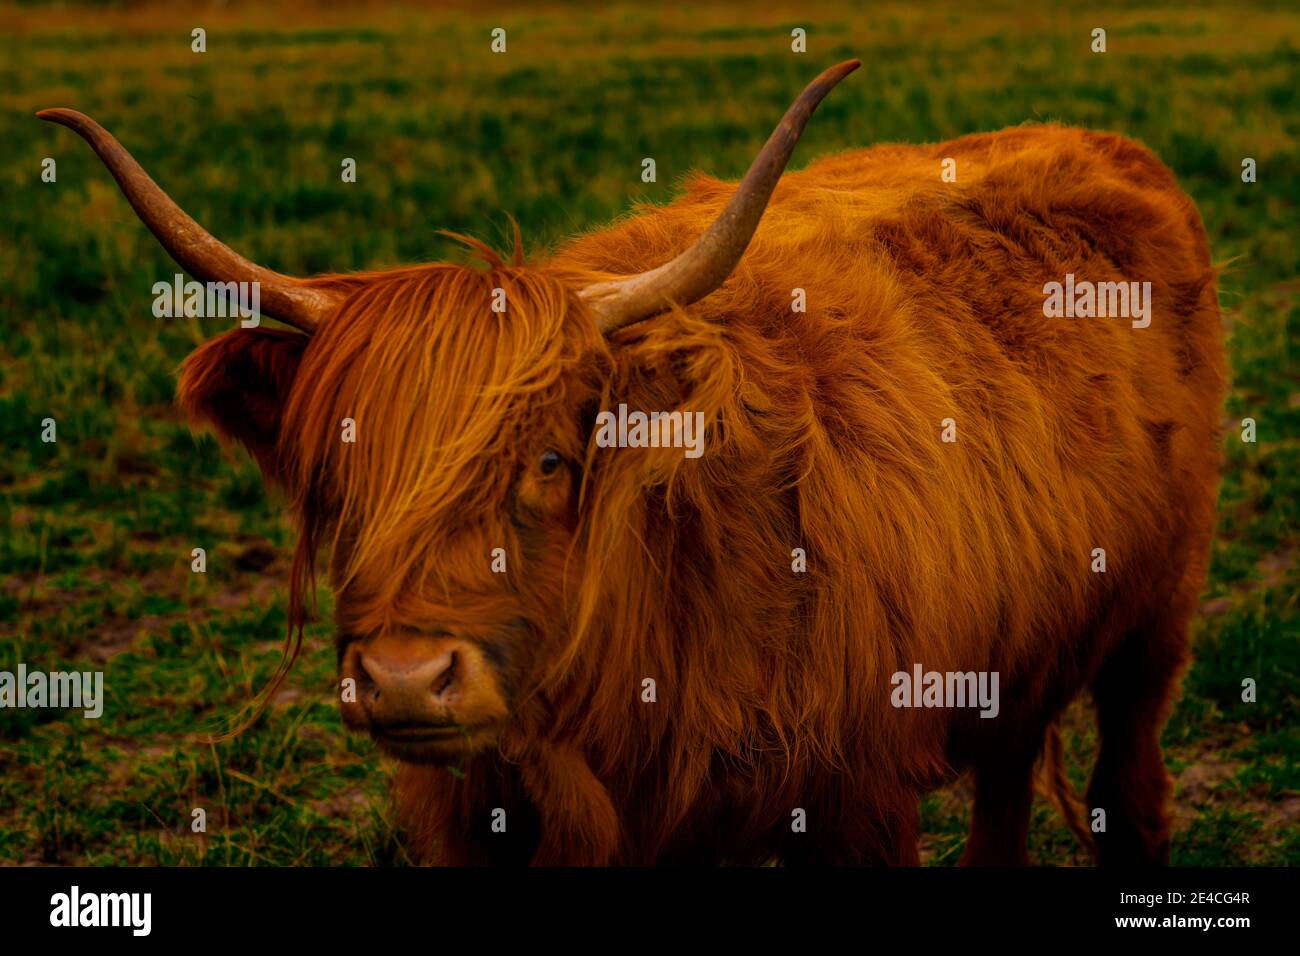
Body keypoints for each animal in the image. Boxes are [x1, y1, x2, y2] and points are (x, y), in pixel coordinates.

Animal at [39, 58, 1225, 866]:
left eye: (551, 461)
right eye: (341, 470)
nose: (407, 677)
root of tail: (1087, 138)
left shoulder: (860, 799)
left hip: (1155, 620)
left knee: (1129, 783)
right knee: (1008, 778)